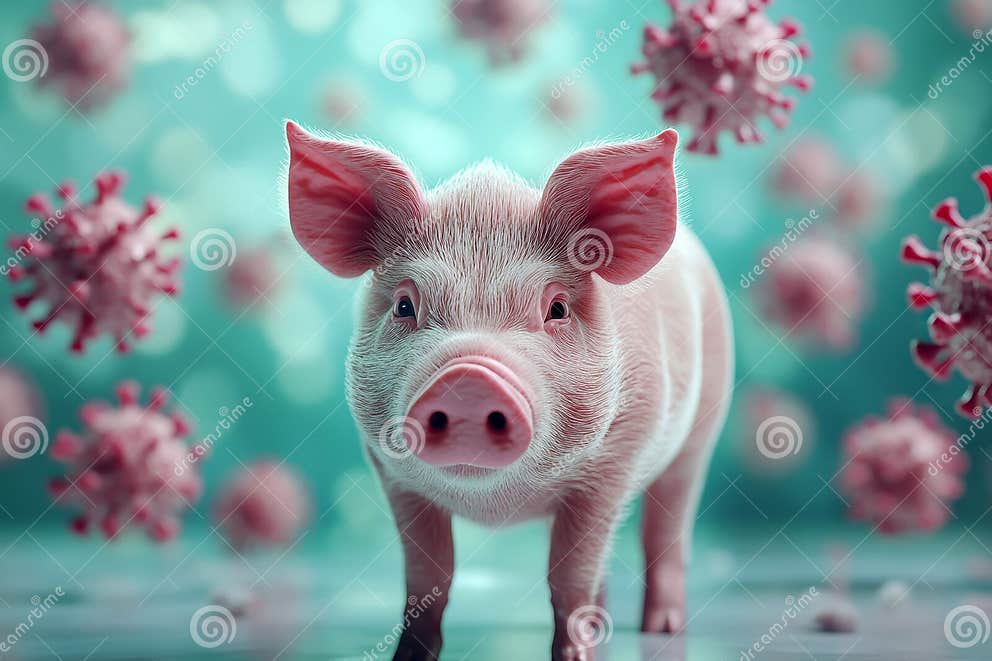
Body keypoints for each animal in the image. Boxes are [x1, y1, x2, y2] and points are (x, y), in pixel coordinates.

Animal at [284, 121, 734, 661]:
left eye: (556, 308)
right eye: (404, 305)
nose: (468, 381)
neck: (498, 504)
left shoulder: (612, 466)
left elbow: (568, 576)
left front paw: (573, 657)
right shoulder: (394, 475)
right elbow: (429, 575)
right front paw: (410, 656)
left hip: (701, 430)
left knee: (666, 532)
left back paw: (660, 630)